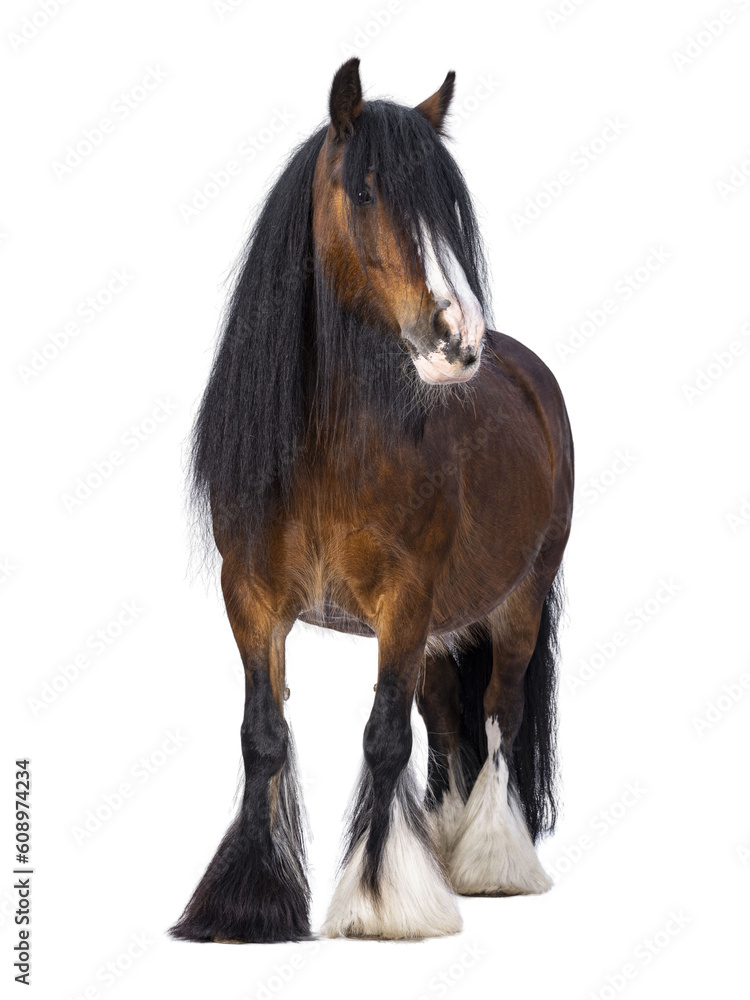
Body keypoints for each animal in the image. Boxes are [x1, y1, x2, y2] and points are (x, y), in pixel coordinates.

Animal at [170, 58, 574, 944]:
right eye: (364, 192)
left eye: (448, 205)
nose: (458, 339)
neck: (328, 450)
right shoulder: (252, 599)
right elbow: (263, 735)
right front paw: (244, 903)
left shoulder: (406, 599)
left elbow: (385, 737)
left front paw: (385, 900)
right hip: (443, 633)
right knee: (450, 725)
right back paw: (450, 850)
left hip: (514, 604)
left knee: (498, 715)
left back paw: (491, 864)